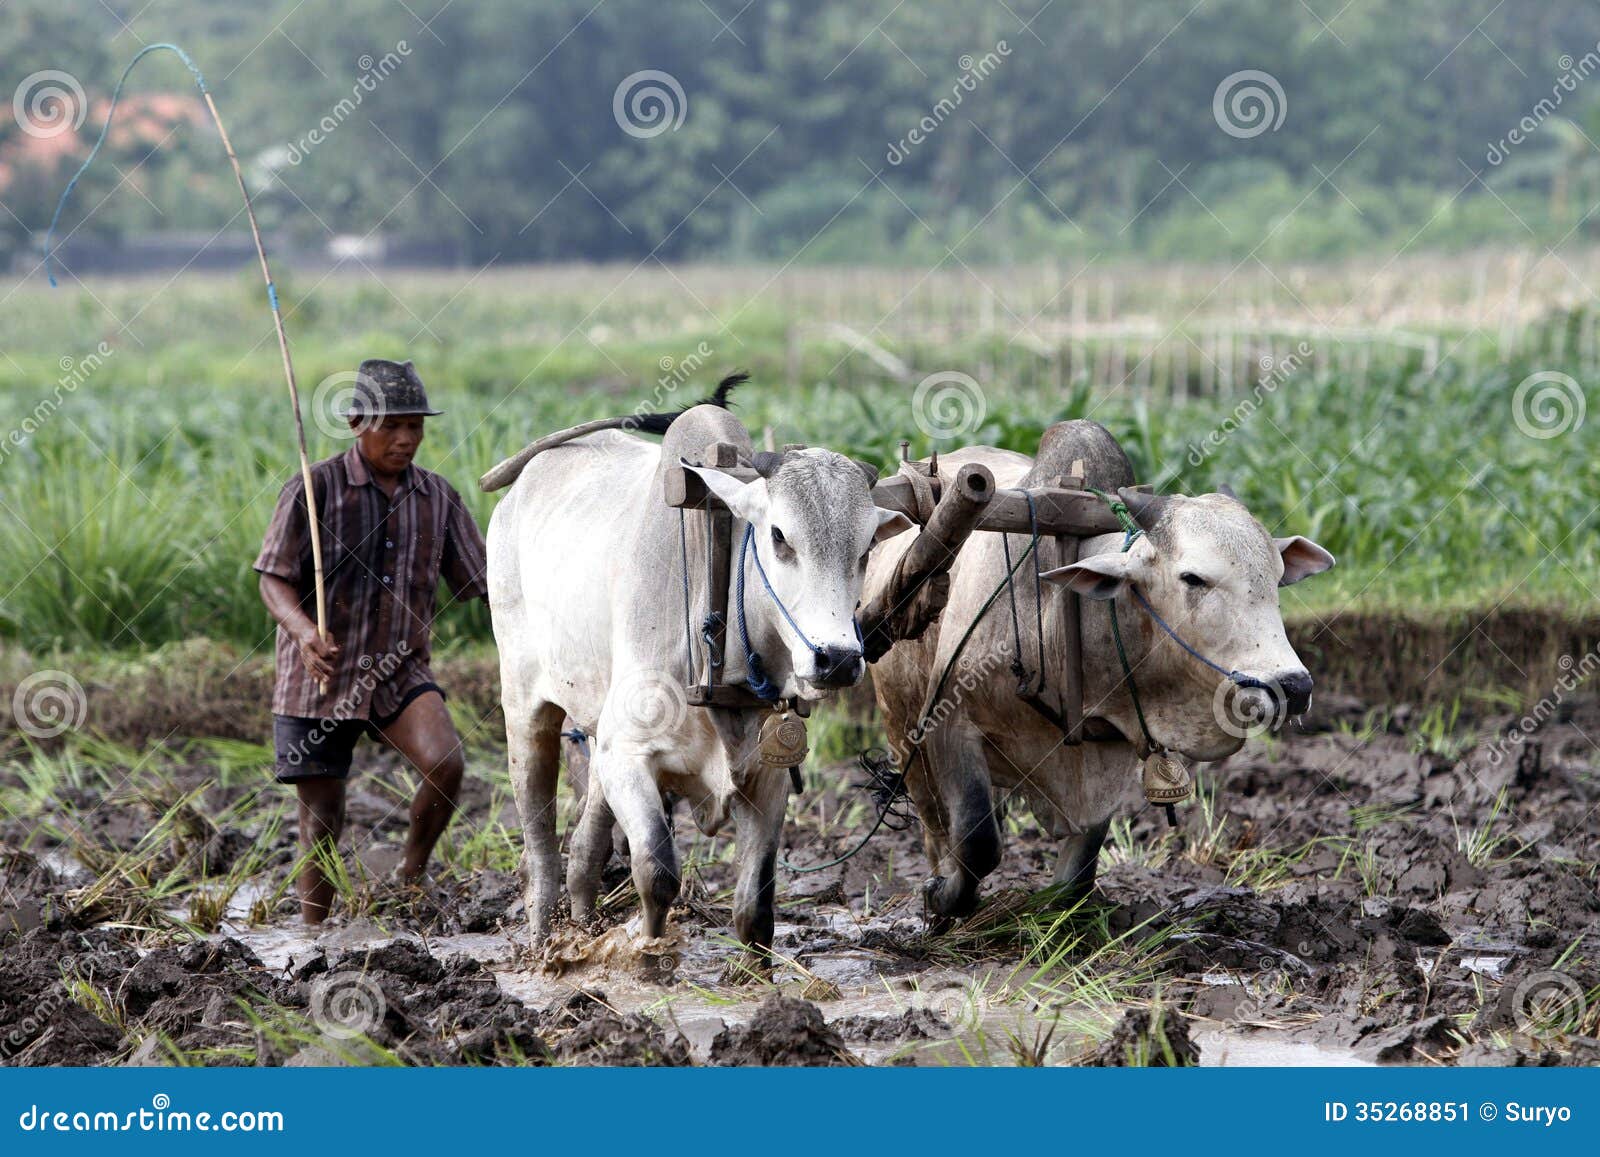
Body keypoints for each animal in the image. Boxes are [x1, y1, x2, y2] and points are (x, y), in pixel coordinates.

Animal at [481, 380, 911, 959]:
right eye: (780, 536)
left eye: (867, 549)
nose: (838, 659)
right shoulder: (629, 757)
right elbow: (658, 873)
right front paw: (646, 956)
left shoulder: (768, 779)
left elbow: (755, 908)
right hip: (524, 705)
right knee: (540, 846)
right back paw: (543, 938)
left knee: (585, 853)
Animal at [866, 419, 1334, 921]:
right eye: (1192, 578)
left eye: (1277, 577)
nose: (1293, 687)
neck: (1055, 620)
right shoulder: (947, 725)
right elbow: (978, 842)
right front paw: (944, 898)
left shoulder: (1110, 753)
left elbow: (1077, 872)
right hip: (900, 724)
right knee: (934, 826)